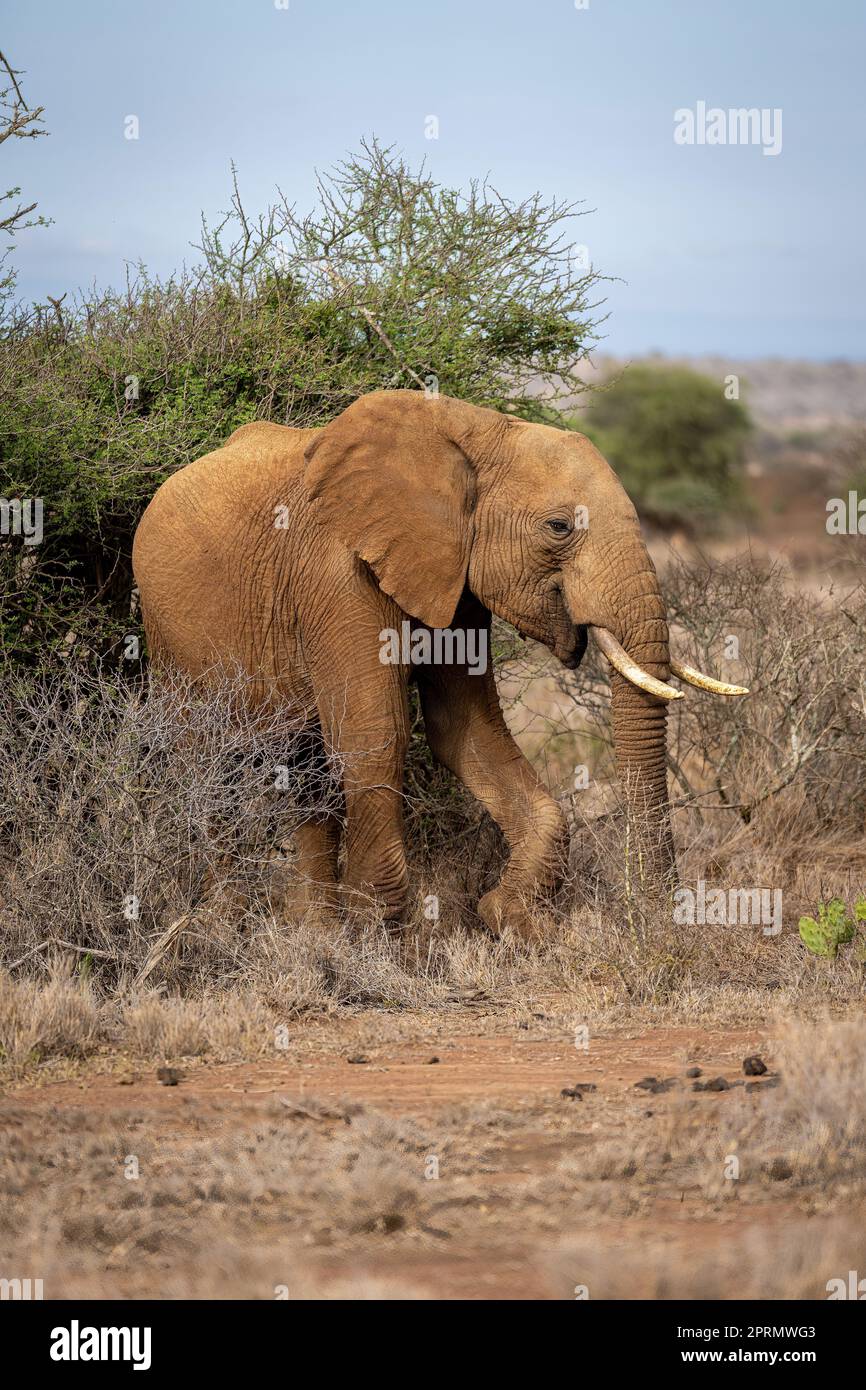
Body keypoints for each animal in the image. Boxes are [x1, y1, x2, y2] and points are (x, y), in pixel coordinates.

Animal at [132, 389, 746, 938]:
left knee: (305, 763)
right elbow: (374, 729)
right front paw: (376, 935)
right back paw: (218, 925)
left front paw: (512, 922)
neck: (479, 431)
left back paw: (312, 933)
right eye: (558, 527)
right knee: (205, 754)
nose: (659, 924)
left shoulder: (459, 578)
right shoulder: (336, 571)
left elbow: (464, 727)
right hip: (168, 633)